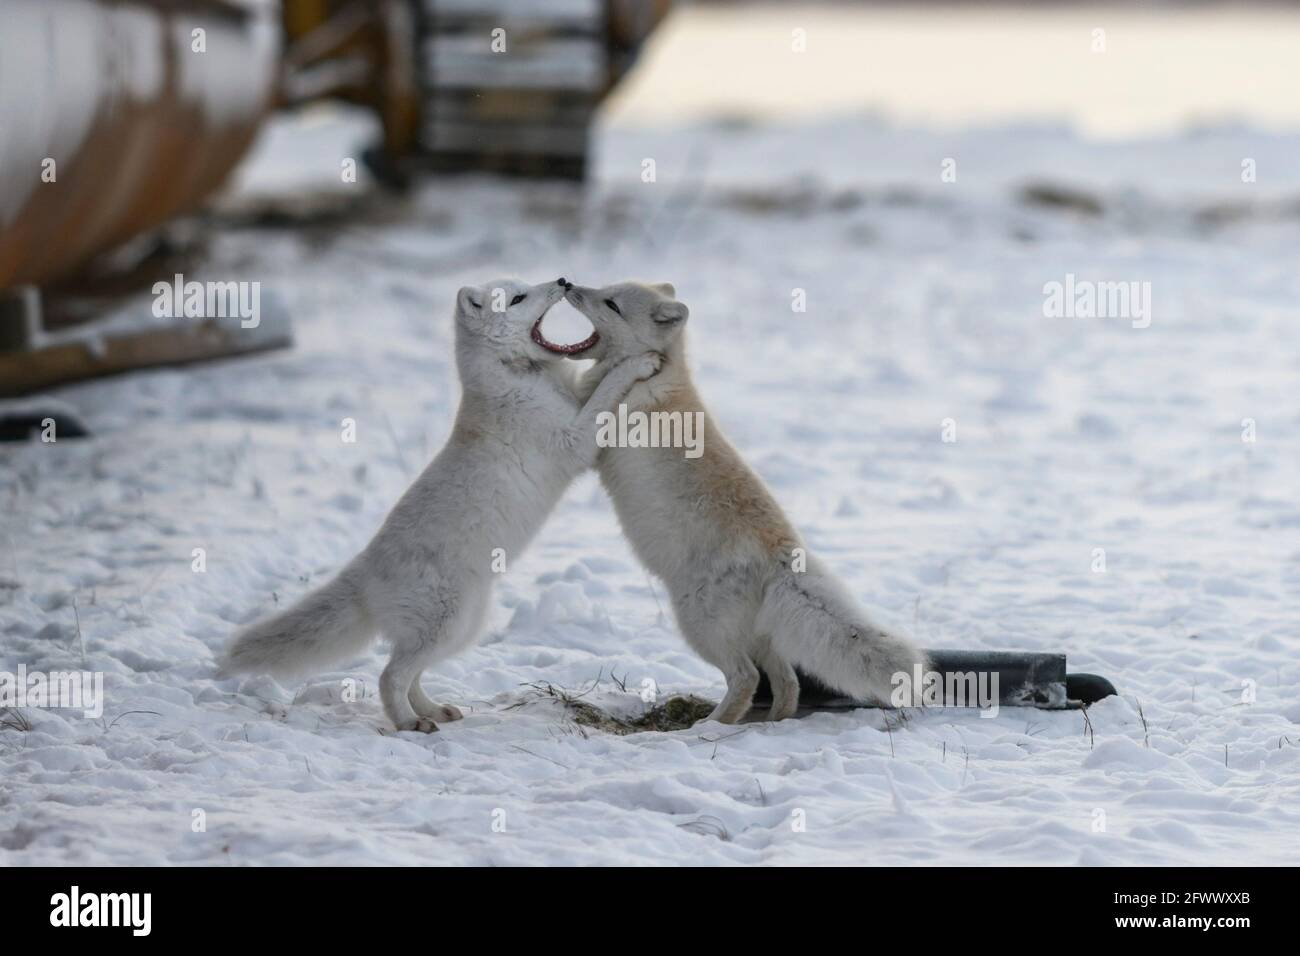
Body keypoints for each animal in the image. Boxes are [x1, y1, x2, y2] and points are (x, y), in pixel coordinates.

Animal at [222, 277, 662, 732]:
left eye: (524, 287)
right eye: (519, 298)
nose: (561, 280)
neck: (520, 376)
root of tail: (364, 572)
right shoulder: (573, 444)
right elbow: (605, 396)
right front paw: (639, 363)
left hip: (462, 628)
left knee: (411, 674)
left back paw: (433, 711)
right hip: (444, 624)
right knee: (390, 675)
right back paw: (408, 723)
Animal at [565, 280, 928, 723]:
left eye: (611, 304)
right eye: (603, 289)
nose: (567, 284)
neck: (665, 378)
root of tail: (782, 553)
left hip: (698, 623)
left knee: (747, 678)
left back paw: (708, 726)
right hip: (755, 635)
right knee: (786, 681)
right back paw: (772, 723)